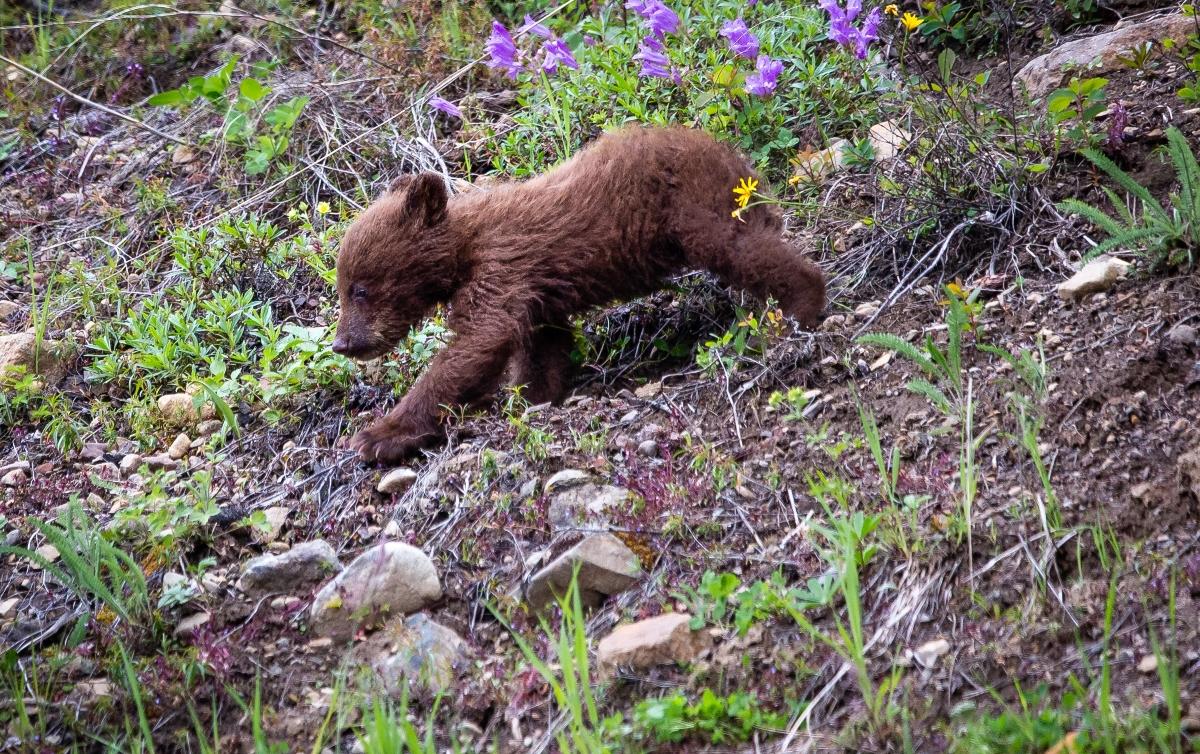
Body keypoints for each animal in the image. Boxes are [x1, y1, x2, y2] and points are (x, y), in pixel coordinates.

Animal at [332, 125, 826, 464]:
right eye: (343, 287)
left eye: (360, 288)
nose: (343, 343)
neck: (463, 249)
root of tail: (735, 158)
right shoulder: (536, 291)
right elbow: (541, 344)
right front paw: (534, 395)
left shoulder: (503, 264)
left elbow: (478, 340)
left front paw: (379, 435)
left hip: (696, 207)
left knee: (744, 249)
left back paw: (802, 309)